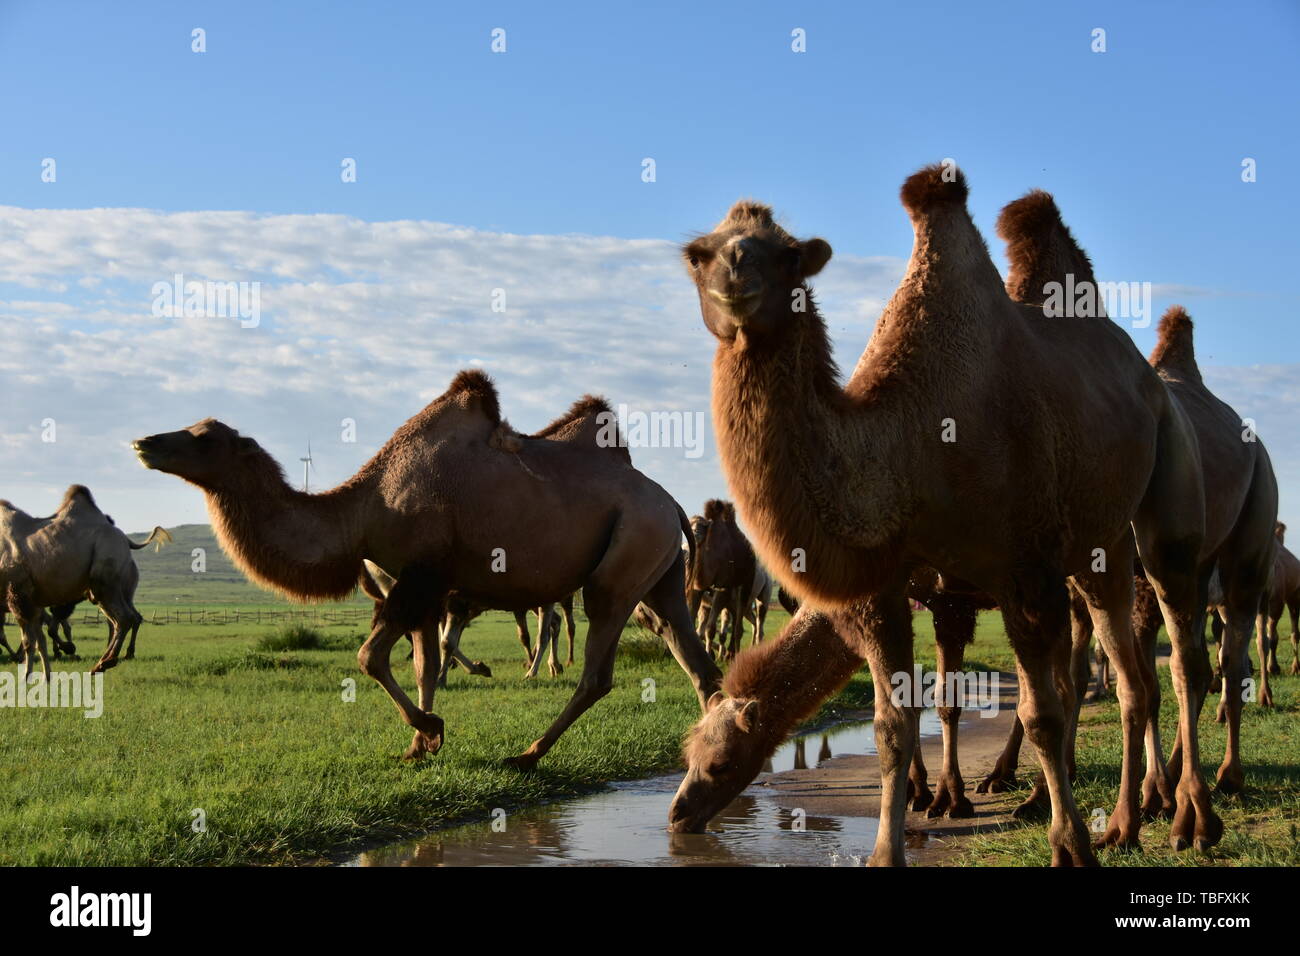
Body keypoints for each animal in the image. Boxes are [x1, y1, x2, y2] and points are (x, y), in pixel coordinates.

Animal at [0, 487, 169, 681]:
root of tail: (126, 540)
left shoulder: (18, 595)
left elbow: (30, 640)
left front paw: (27, 675)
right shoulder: (32, 602)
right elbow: (39, 639)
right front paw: (46, 675)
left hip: (104, 579)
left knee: (124, 618)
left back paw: (104, 663)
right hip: (108, 590)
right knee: (122, 619)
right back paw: (107, 660)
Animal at [132, 375, 722, 766]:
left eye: (205, 437)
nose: (144, 442)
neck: (365, 508)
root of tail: (671, 503)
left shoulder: (422, 575)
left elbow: (370, 657)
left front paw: (432, 729)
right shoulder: (422, 587)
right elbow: (423, 663)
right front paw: (419, 745)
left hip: (627, 555)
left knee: (601, 666)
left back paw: (528, 754)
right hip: (663, 571)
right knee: (691, 654)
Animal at [688, 501, 757, 660]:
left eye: (701, 527)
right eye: (690, 524)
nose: (694, 534)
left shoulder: (722, 586)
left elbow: (710, 628)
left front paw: (709, 654)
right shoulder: (697, 588)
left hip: (747, 581)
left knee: (738, 625)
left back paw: (735, 654)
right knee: (735, 615)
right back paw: (729, 653)